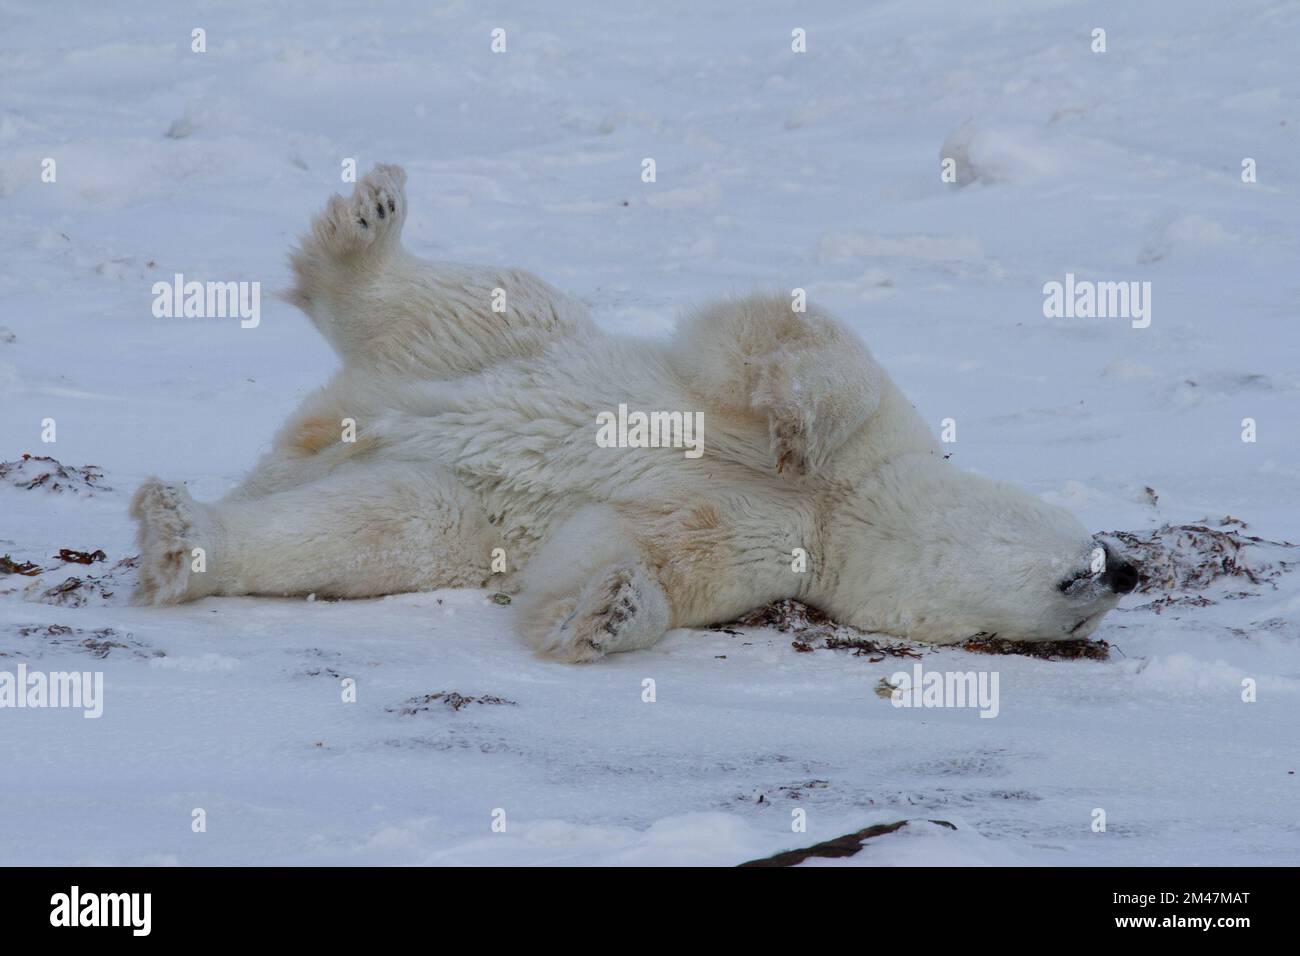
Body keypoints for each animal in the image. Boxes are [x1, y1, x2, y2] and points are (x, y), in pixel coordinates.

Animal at [130, 163, 1139, 662]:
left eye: (1077, 622)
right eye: (1086, 564)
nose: (1128, 570)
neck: (841, 509)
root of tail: (342, 413)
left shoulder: (766, 552)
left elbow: (625, 552)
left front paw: (608, 614)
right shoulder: (866, 430)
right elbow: (784, 339)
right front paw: (794, 424)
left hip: (444, 496)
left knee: (375, 525)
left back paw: (187, 541)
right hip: (520, 342)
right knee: (472, 303)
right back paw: (371, 226)